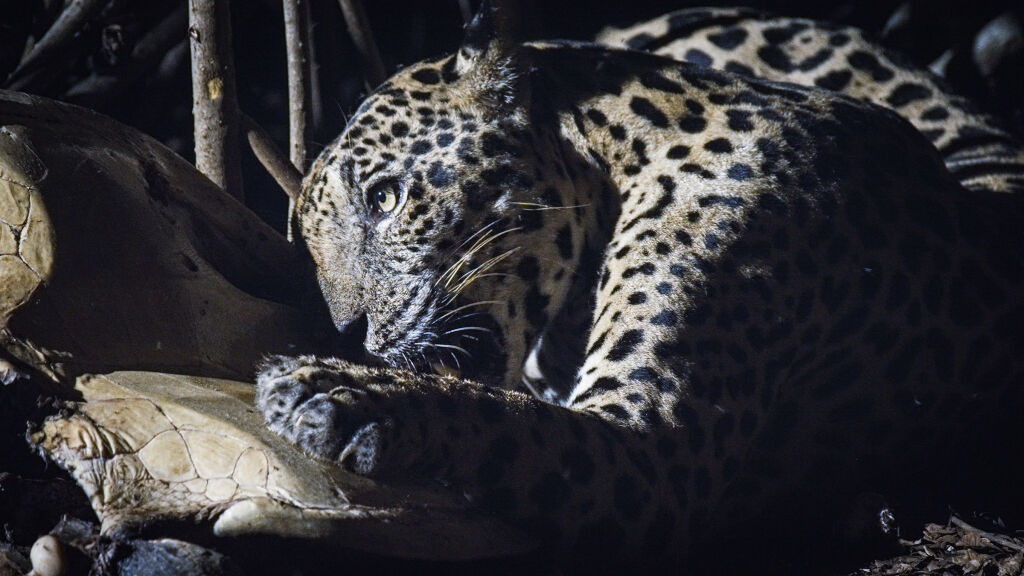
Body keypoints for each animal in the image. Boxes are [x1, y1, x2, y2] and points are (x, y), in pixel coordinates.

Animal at [255, 2, 1024, 563]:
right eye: (312, 253)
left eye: (386, 198)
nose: (348, 333)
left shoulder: (652, 445)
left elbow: (500, 416)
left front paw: (336, 391)